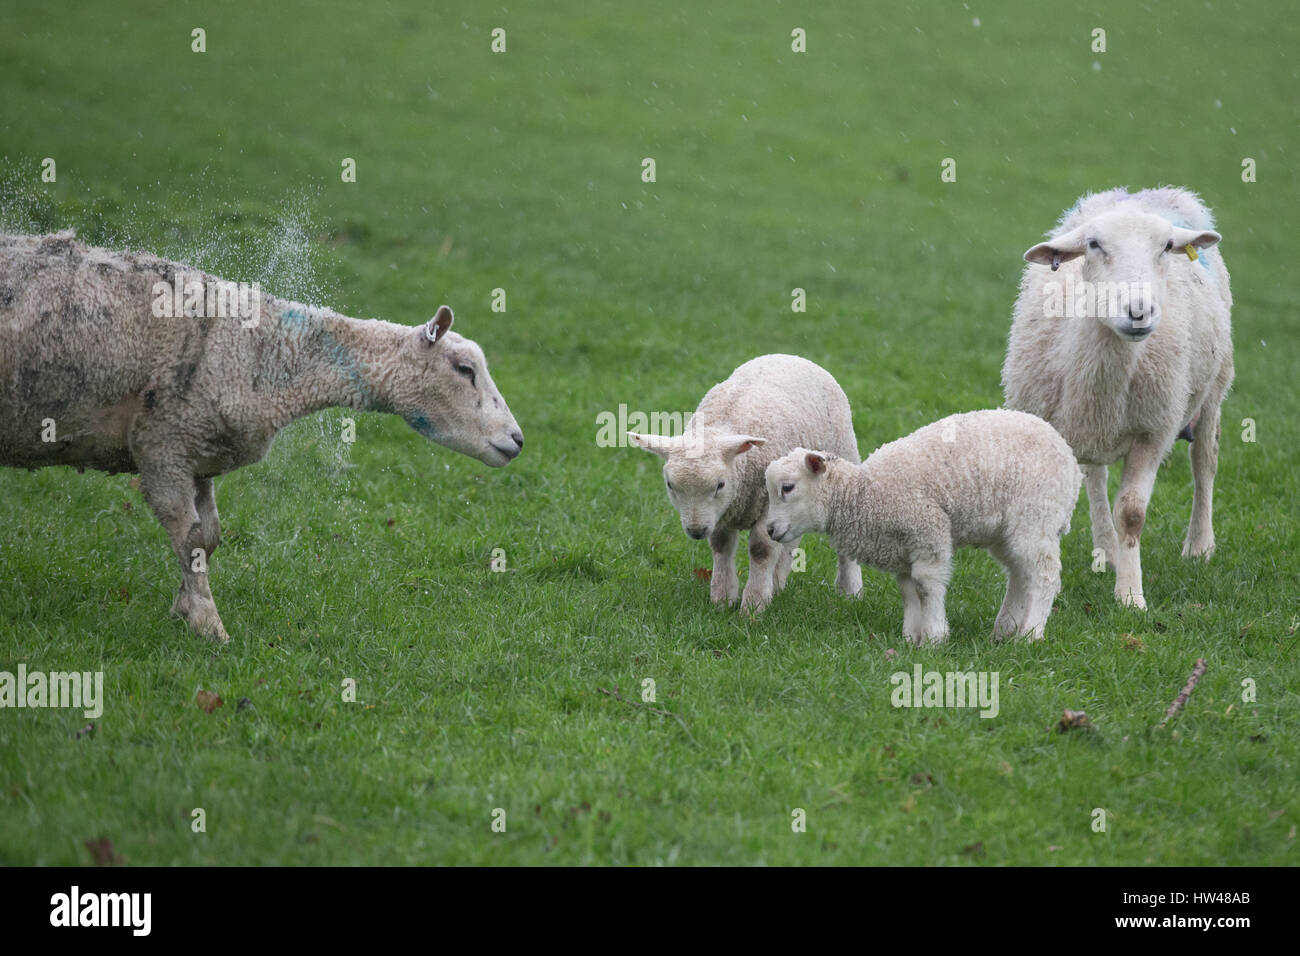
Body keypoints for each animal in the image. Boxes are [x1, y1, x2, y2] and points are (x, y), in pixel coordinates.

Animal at [0, 231, 524, 643]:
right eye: (464, 370)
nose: (517, 439)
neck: (269, 351)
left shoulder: (200, 451)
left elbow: (207, 537)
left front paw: (183, 608)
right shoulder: (162, 446)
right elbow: (188, 539)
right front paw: (210, 626)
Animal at [628, 353, 863, 613]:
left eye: (720, 484)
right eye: (670, 485)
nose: (696, 531)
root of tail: (789, 355)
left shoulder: (767, 502)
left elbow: (761, 549)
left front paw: (753, 606)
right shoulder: (722, 513)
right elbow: (721, 545)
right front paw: (722, 599)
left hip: (843, 454)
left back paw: (850, 590)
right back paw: (777, 584)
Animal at [763, 410, 1082, 644]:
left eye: (788, 488)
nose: (769, 530)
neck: (865, 494)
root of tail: (1069, 457)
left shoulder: (928, 533)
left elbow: (926, 586)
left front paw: (933, 638)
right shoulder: (902, 549)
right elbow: (908, 591)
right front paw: (910, 637)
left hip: (1035, 517)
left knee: (1043, 575)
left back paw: (1031, 634)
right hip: (1007, 531)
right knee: (1018, 574)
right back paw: (1004, 630)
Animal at [1002, 187, 1233, 610]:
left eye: (1167, 247)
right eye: (1094, 244)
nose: (1138, 311)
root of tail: (1150, 192)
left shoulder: (1153, 433)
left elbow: (1132, 513)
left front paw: (1130, 596)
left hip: (1216, 383)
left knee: (1205, 460)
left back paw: (1199, 546)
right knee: (1094, 477)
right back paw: (1106, 550)